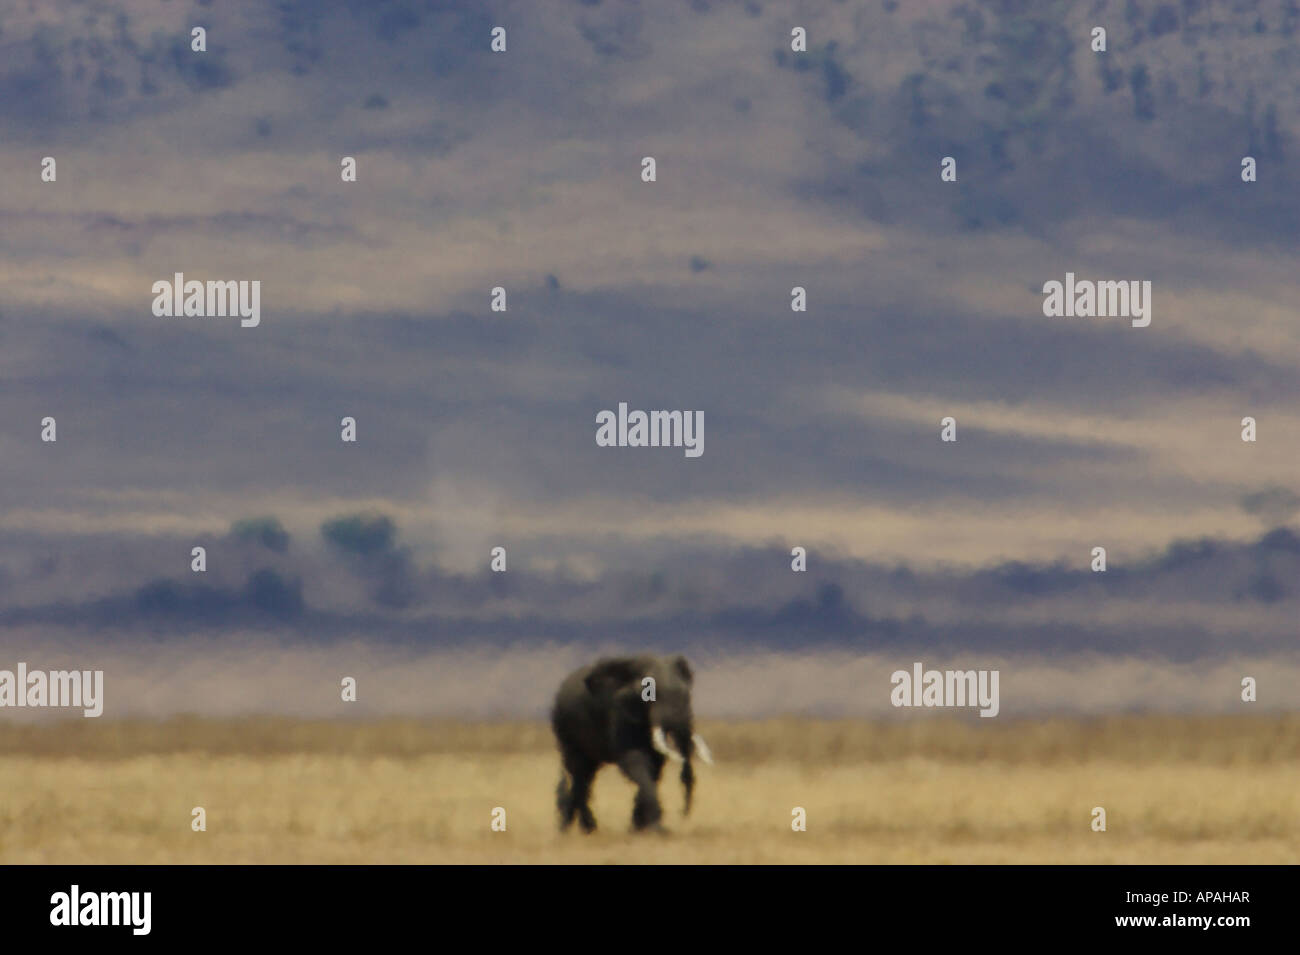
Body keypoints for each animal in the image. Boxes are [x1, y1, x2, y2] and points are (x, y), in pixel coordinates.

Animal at [551, 654, 712, 833]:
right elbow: (633, 759)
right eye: (651, 694)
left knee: (586, 772)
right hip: (565, 726)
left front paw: (639, 827)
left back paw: (581, 827)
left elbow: (655, 765)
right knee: (578, 771)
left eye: (687, 695)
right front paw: (658, 831)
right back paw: (576, 828)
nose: (682, 813)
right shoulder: (619, 712)